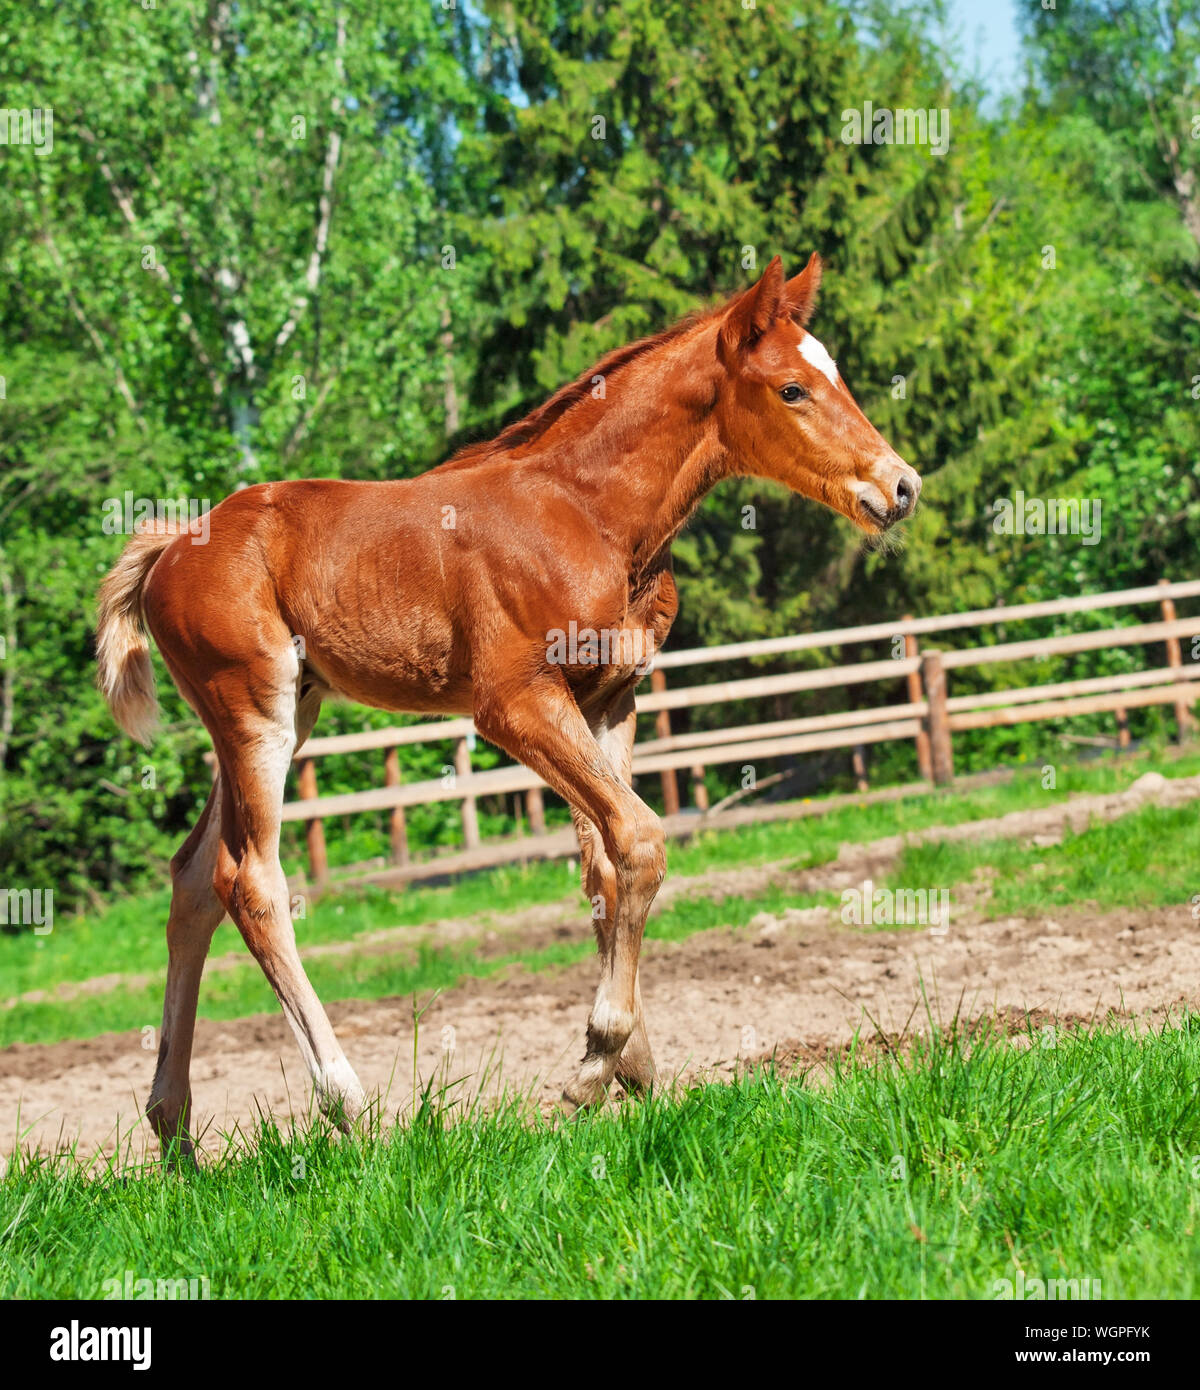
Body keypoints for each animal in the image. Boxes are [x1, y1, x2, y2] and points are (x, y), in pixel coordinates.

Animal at [96, 253, 921, 1162]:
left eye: (834, 374)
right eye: (791, 389)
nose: (901, 486)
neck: (589, 513)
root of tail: (170, 546)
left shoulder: (610, 702)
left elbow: (607, 864)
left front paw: (629, 1067)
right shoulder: (515, 705)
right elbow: (641, 839)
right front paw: (597, 1061)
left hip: (281, 713)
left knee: (191, 882)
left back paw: (175, 1135)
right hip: (255, 710)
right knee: (249, 881)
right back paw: (343, 1100)